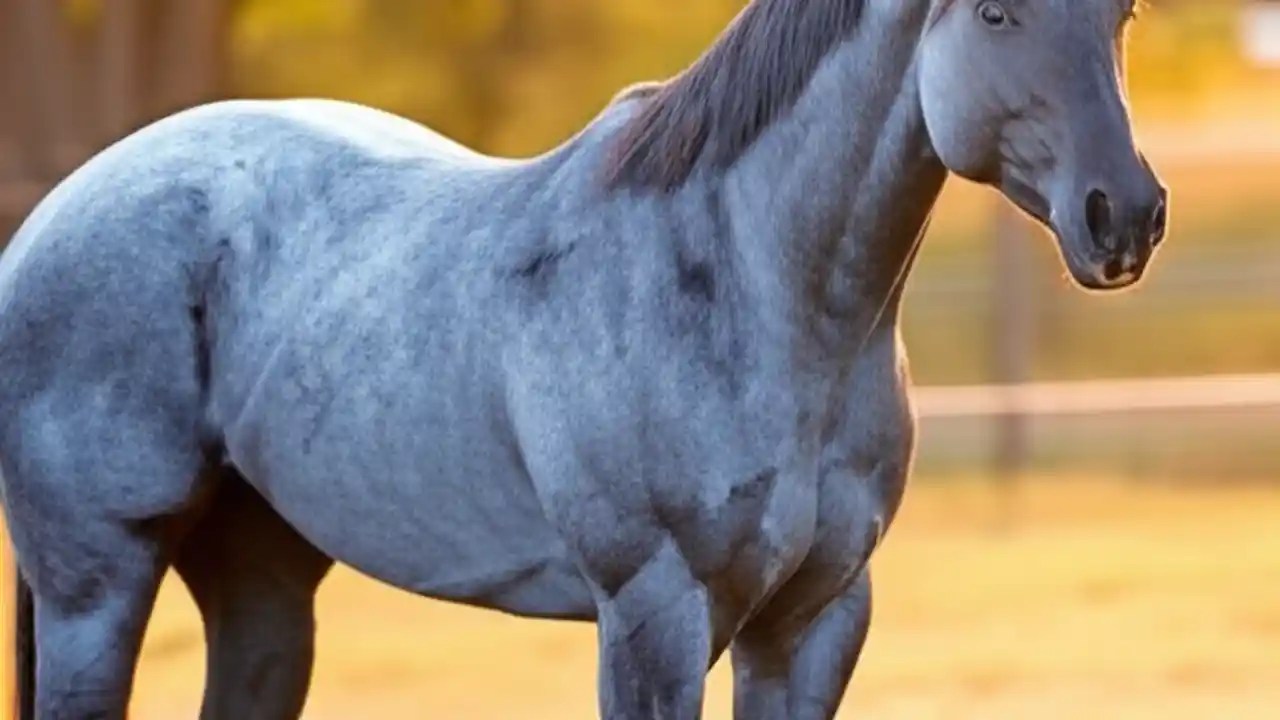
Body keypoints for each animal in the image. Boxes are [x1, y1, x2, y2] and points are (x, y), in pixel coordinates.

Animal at [0, 0, 1167, 717]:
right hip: (96, 588)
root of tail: (50, 220)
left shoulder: (817, 618)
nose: (1123, 216)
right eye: (995, 13)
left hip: (261, 586)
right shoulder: (652, 614)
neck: (745, 283)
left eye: (1120, 13)